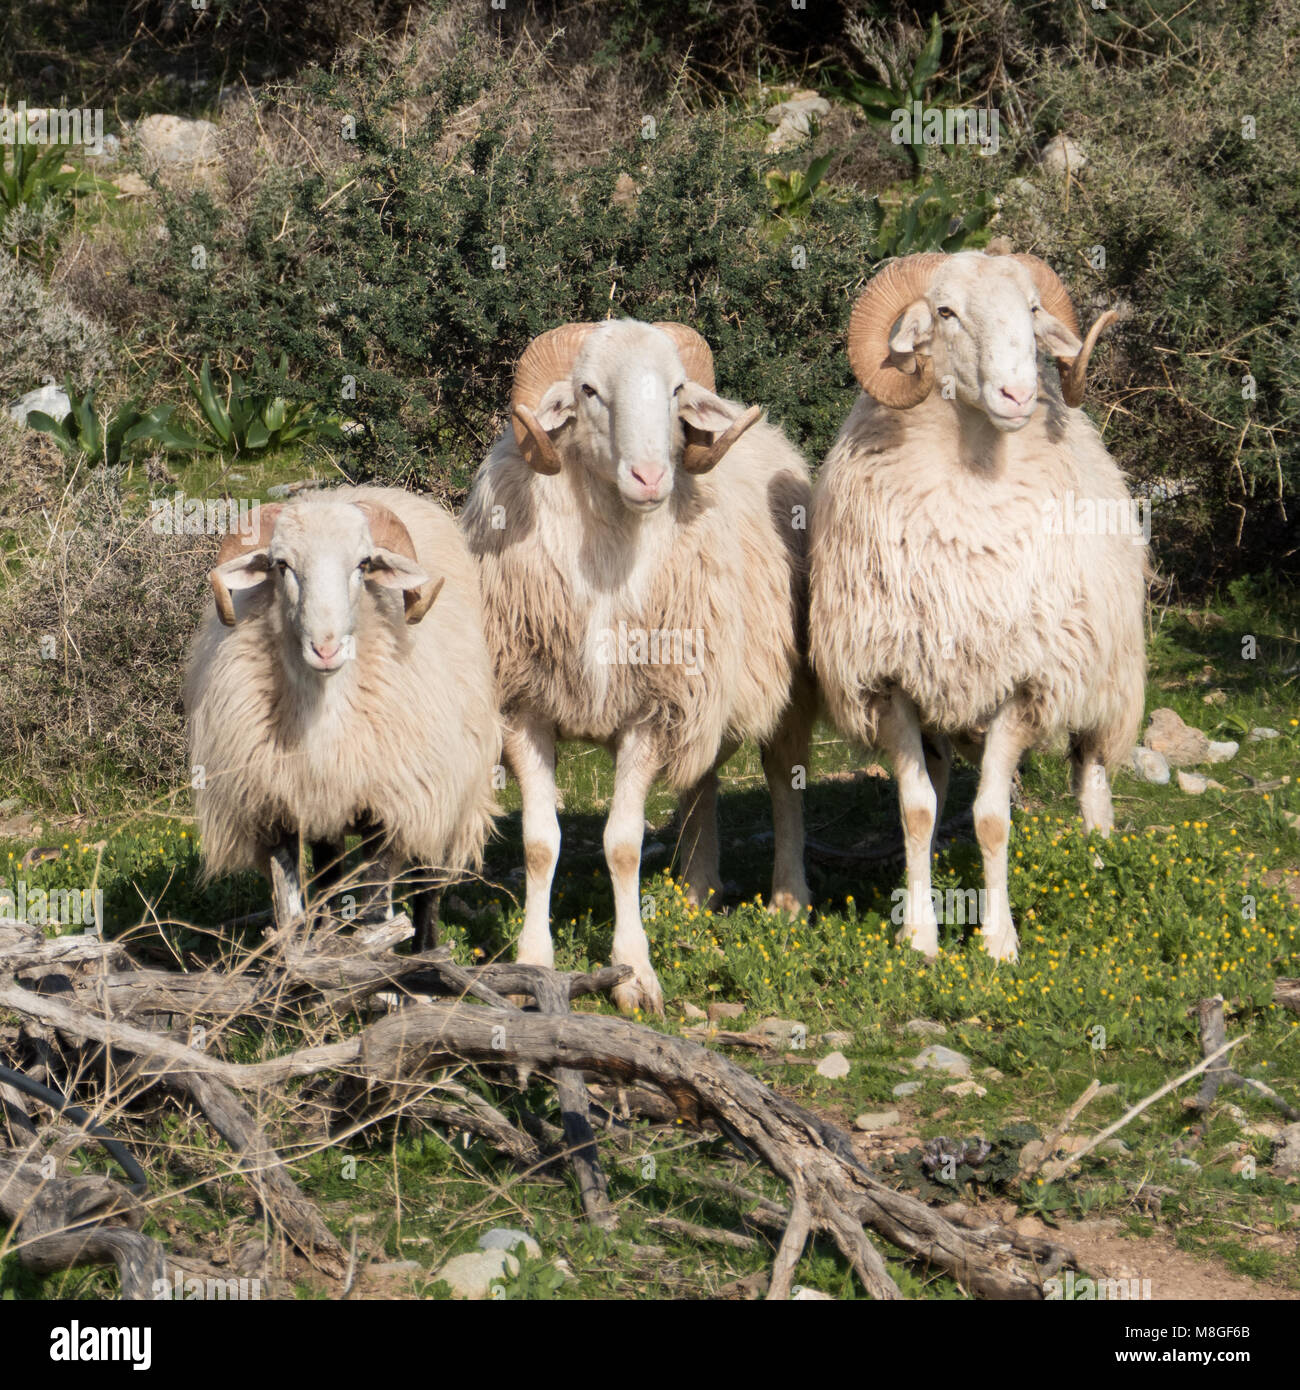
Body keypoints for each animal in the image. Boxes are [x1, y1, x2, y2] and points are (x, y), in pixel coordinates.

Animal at [184, 485, 501, 950]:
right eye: (281, 565)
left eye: (364, 564)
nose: (326, 648)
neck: (324, 712)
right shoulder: (277, 808)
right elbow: (296, 912)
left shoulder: (391, 807)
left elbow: (375, 910)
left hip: (445, 792)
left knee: (427, 885)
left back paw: (426, 953)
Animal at [462, 318, 814, 1014]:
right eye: (589, 391)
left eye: (677, 390)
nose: (651, 476)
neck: (607, 557)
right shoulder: (523, 711)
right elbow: (539, 842)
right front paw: (531, 964)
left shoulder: (650, 714)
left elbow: (622, 845)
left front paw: (635, 976)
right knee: (702, 780)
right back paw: (698, 893)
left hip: (781, 690)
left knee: (783, 777)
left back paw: (789, 902)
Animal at [809, 250, 1148, 963]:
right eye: (945, 312)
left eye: (1032, 309)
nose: (1019, 395)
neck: (971, 475)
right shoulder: (889, 681)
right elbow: (915, 809)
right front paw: (918, 934)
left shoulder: (1026, 683)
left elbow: (993, 819)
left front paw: (998, 942)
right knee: (938, 784)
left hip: (1106, 680)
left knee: (1093, 777)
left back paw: (1098, 868)